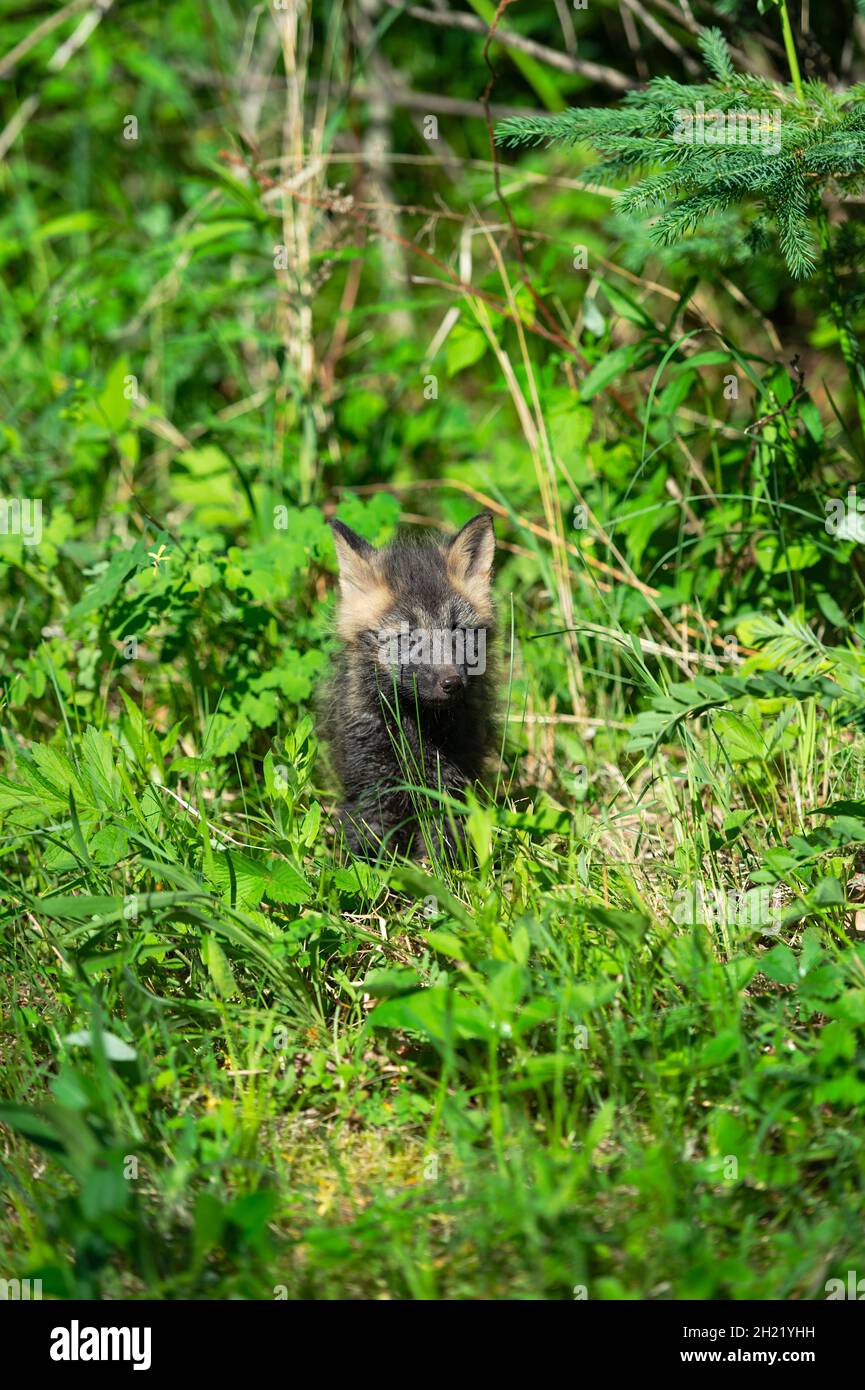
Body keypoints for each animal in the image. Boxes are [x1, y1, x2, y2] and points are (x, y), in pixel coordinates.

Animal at [323, 512, 497, 859]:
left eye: (458, 631)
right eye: (408, 636)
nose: (451, 683)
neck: (415, 731)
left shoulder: (451, 785)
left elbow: (442, 851)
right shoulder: (370, 784)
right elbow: (366, 848)